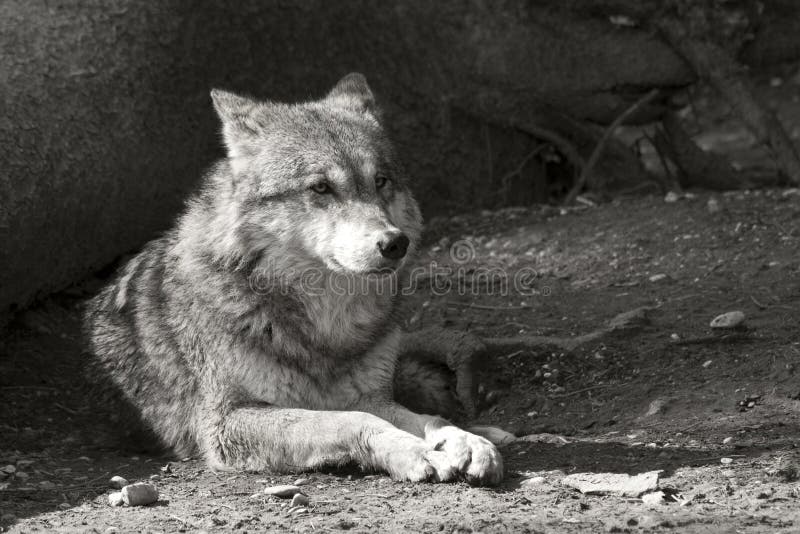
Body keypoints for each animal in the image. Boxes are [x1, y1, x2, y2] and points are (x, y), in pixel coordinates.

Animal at [84, 73, 502, 485]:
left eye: (381, 181)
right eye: (321, 187)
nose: (395, 243)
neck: (325, 330)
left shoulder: (372, 397)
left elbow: (430, 419)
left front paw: (466, 440)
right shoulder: (226, 422)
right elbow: (352, 422)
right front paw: (417, 452)